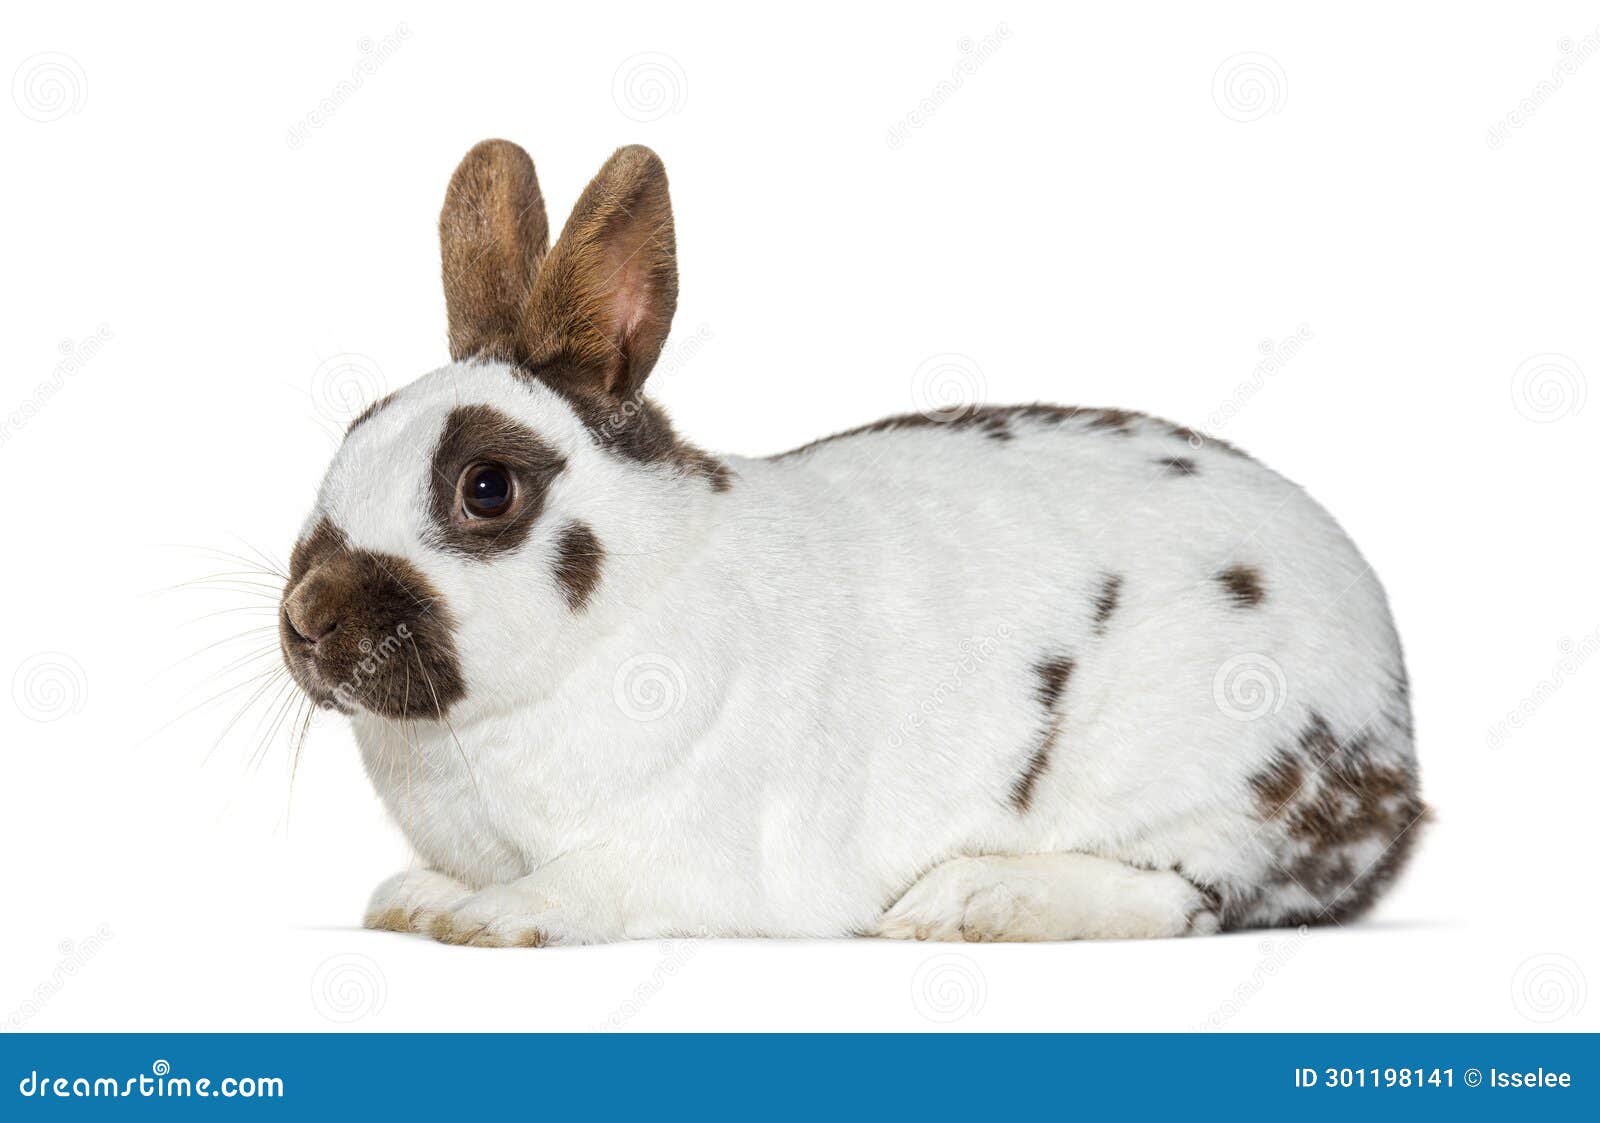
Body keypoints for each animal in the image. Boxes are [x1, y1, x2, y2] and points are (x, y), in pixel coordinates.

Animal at [278, 138, 1424, 946]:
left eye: (487, 488)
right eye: (351, 436)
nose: (307, 622)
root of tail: (1397, 742)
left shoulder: (678, 852)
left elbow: (588, 884)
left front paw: (491, 918)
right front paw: (415, 899)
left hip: (1204, 778)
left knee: (1191, 895)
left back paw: (970, 900)